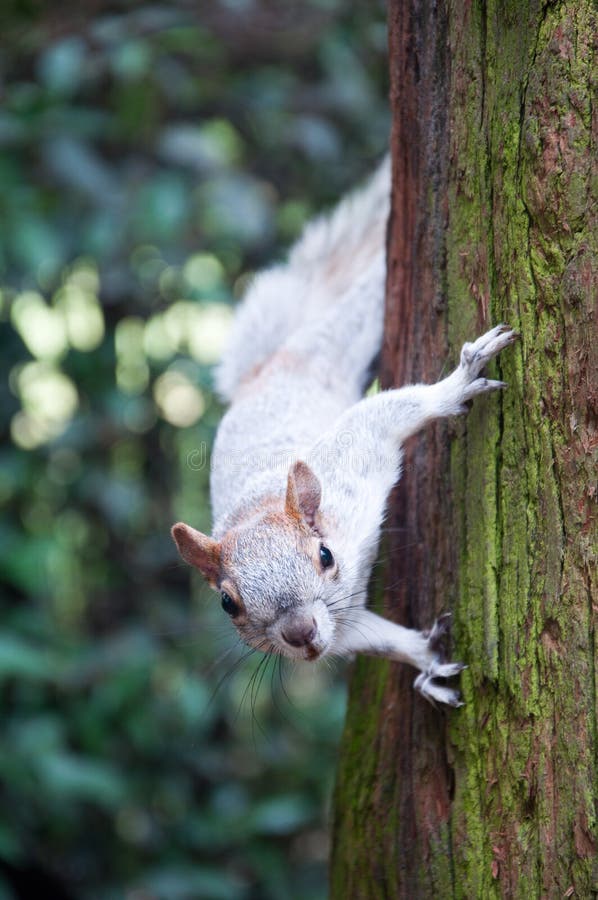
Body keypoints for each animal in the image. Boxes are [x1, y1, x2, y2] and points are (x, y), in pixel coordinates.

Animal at [172, 157, 517, 707]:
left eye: (324, 555)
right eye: (228, 603)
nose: (300, 635)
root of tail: (259, 374)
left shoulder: (354, 461)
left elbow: (388, 411)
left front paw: (452, 387)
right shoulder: (340, 620)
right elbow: (368, 637)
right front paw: (425, 657)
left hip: (324, 349)